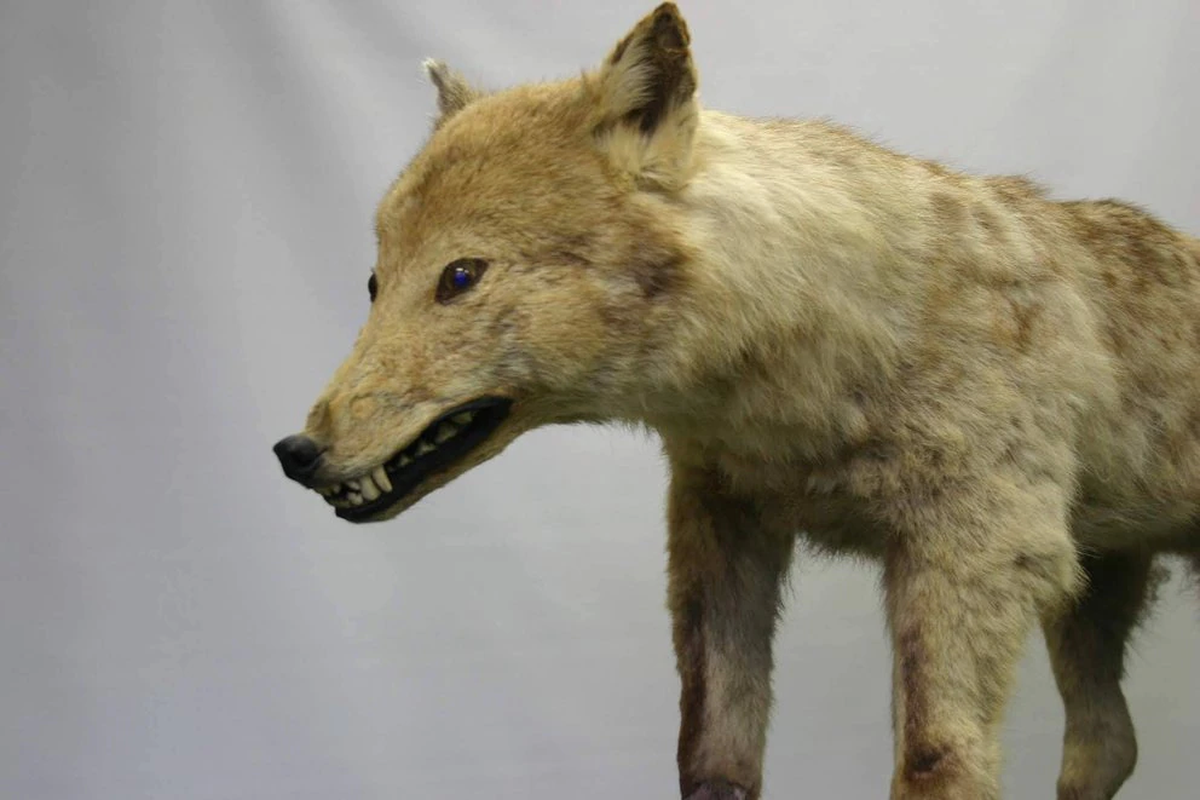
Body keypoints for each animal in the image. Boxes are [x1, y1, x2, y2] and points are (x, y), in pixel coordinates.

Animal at [272, 4, 1200, 798]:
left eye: (460, 277)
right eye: (374, 283)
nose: (294, 452)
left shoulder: (976, 551)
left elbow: (938, 763)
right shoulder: (720, 526)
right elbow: (712, 755)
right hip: (1096, 586)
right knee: (1108, 746)